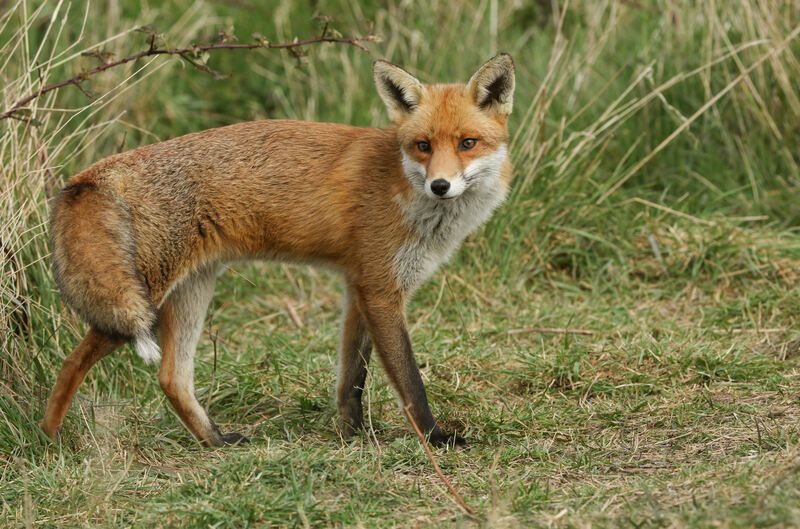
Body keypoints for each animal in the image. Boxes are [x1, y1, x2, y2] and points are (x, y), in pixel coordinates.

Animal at [42, 53, 512, 446]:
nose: (440, 185)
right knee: (70, 365)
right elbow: (410, 381)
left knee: (172, 378)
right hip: (139, 303)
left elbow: (351, 379)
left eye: (467, 143)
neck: (401, 186)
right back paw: (49, 442)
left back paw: (215, 441)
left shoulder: (359, 287)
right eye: (423, 146)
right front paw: (436, 438)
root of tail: (99, 171)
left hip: (193, 289)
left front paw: (352, 435)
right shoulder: (380, 290)